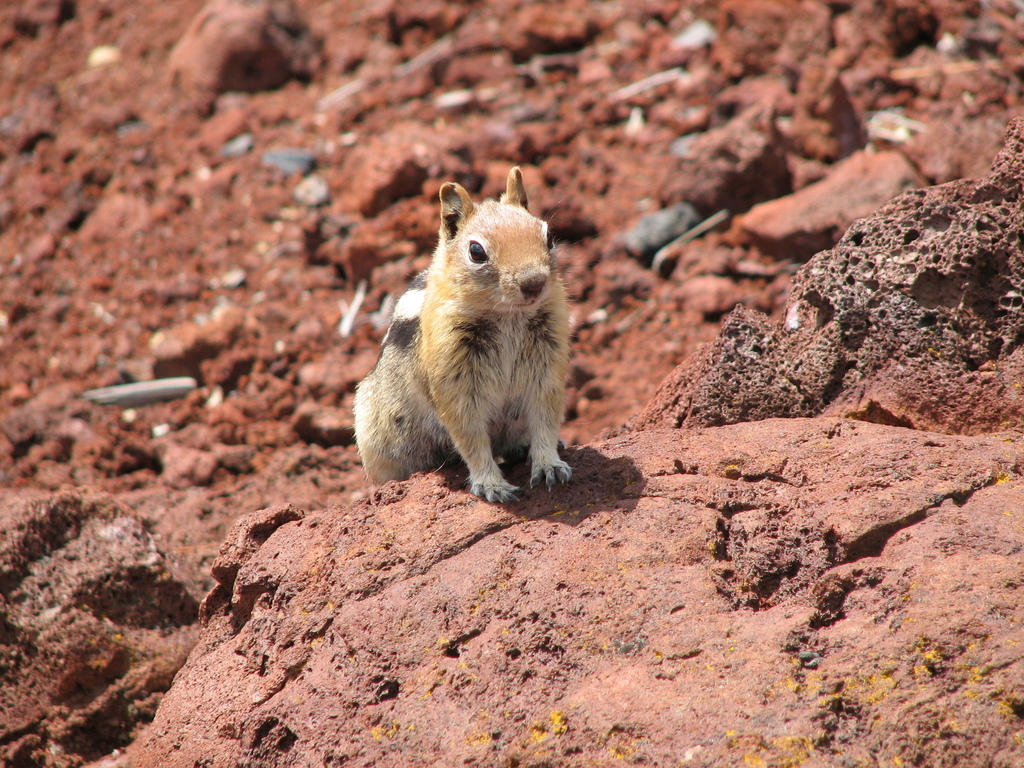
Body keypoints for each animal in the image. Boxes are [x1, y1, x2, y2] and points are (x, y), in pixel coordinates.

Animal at [353, 167, 572, 503]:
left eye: (547, 236)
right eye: (476, 251)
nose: (534, 282)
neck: (508, 315)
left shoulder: (548, 367)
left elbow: (546, 418)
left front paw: (550, 463)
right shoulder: (455, 381)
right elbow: (470, 435)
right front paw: (492, 485)